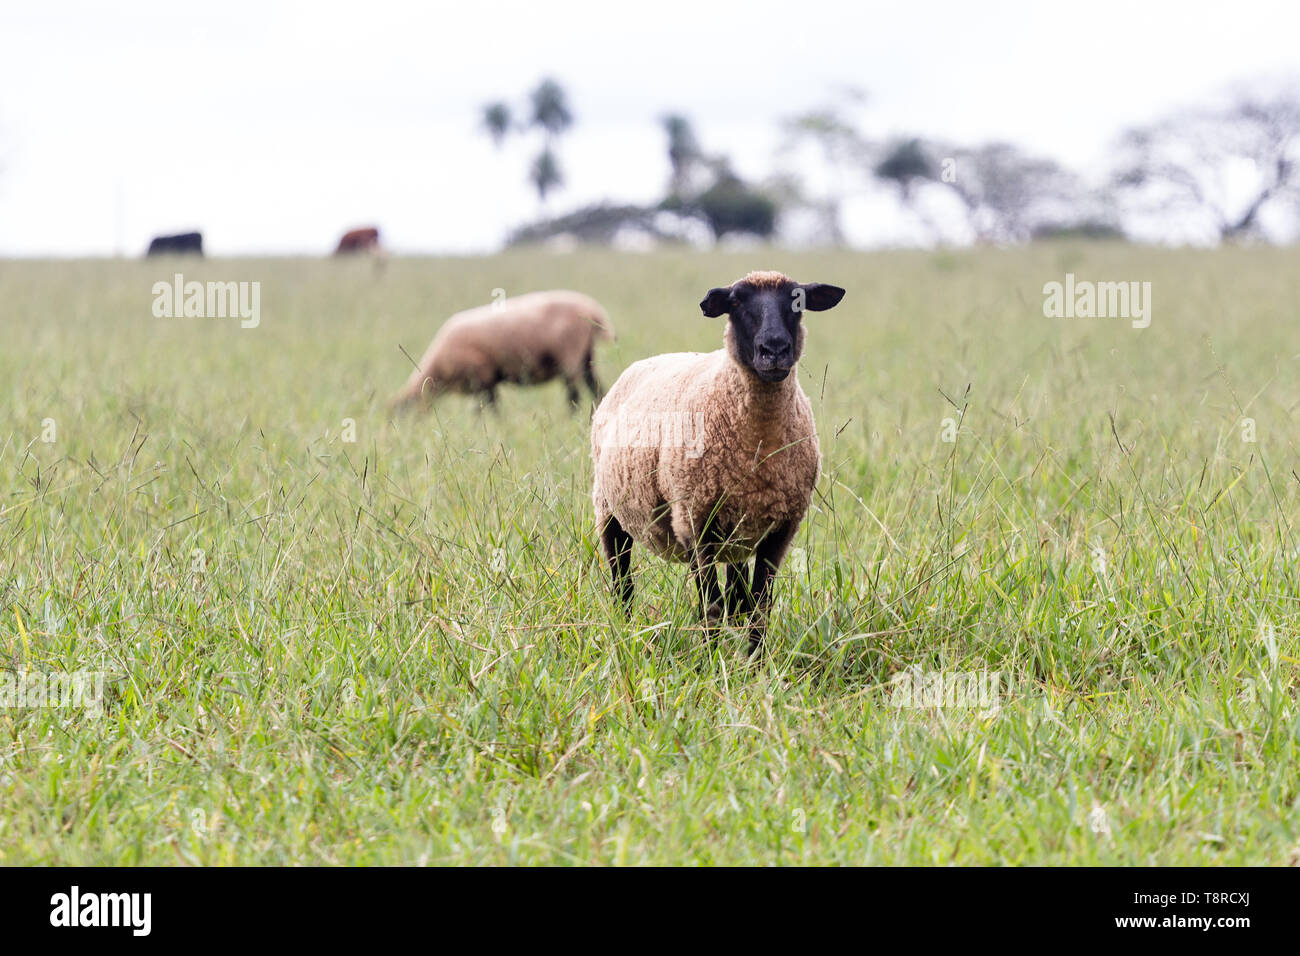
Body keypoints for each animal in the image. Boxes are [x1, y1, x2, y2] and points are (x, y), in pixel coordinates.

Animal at [391, 290, 614, 410]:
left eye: (404, 413)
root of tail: (593, 310)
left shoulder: (482, 377)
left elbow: (488, 408)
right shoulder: (486, 381)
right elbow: (486, 408)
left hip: (570, 354)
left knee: (573, 393)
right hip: (586, 356)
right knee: (595, 386)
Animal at [591, 271, 846, 654]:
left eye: (797, 302)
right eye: (736, 301)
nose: (774, 349)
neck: (758, 446)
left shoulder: (779, 531)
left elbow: (759, 606)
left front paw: (755, 660)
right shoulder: (695, 524)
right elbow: (710, 606)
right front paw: (712, 660)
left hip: (737, 537)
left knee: (738, 597)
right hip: (609, 510)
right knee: (622, 583)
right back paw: (625, 631)